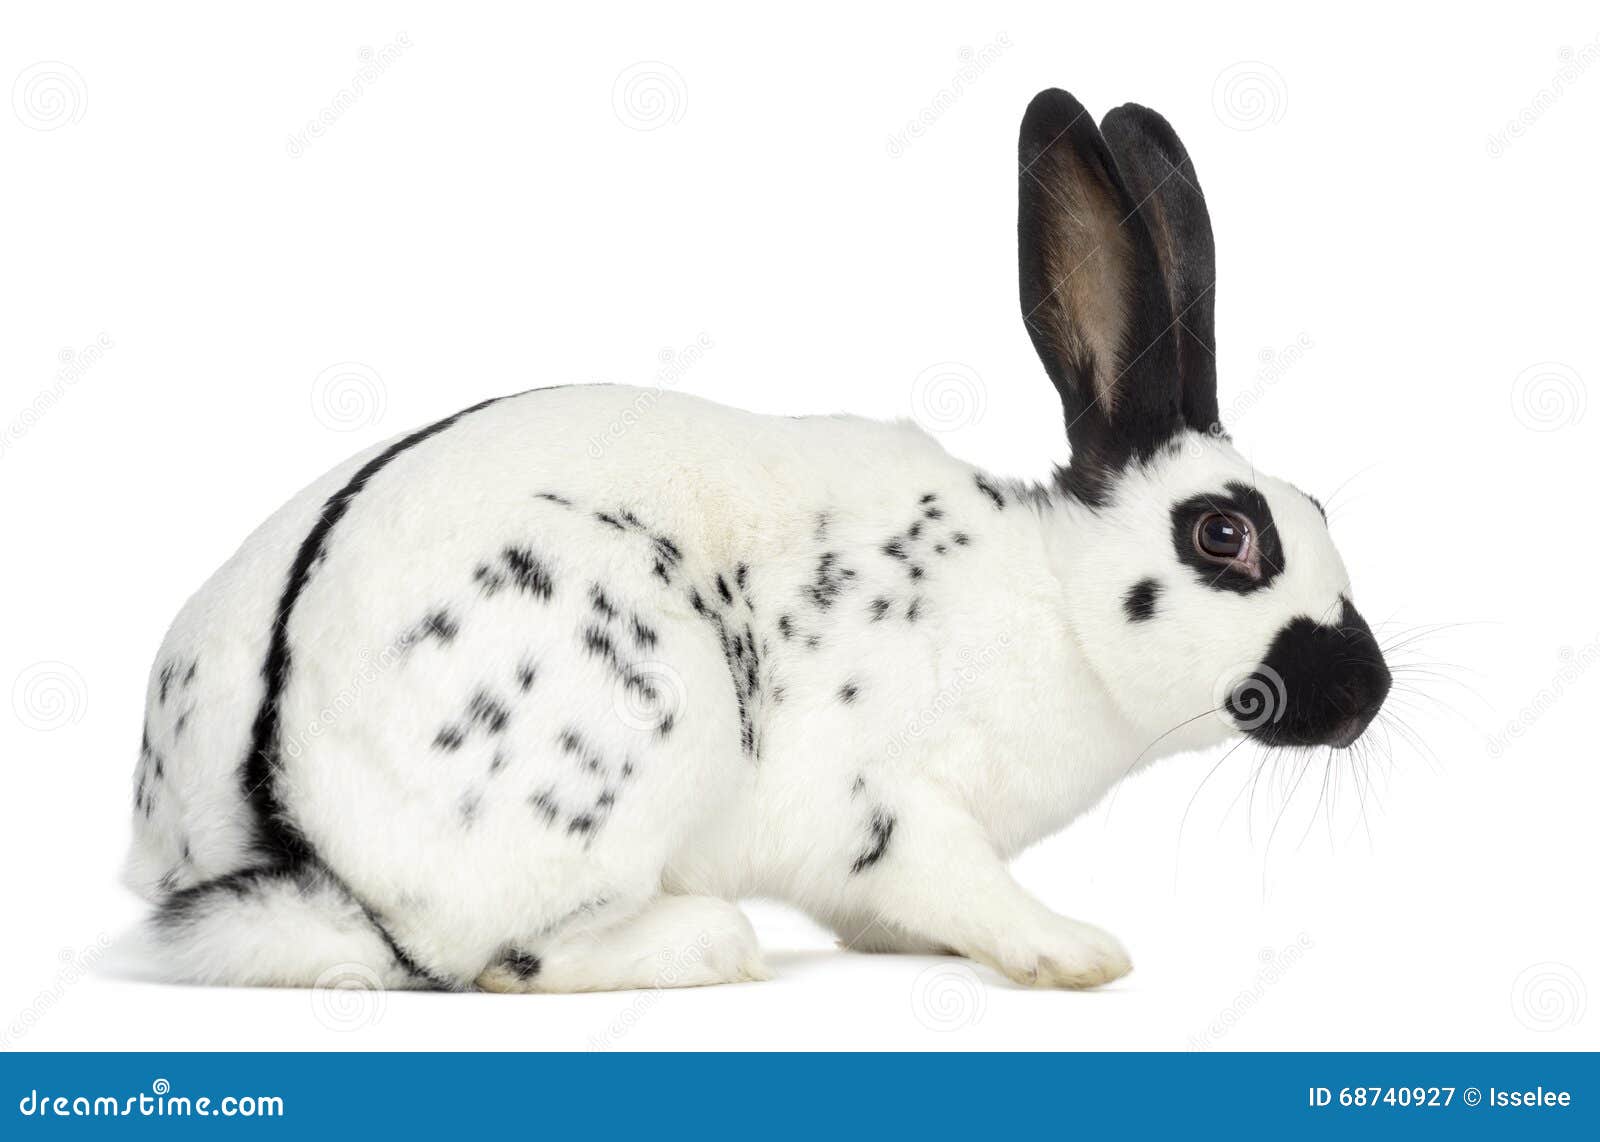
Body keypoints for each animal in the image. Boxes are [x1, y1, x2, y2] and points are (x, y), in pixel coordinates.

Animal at [122, 88, 1390, 993]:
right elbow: (960, 880)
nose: (1365, 692)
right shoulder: (894, 806)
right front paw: (1075, 951)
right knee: (498, 956)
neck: (1056, 597)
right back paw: (710, 941)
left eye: (1321, 511)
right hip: (636, 724)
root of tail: (276, 828)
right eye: (1224, 534)